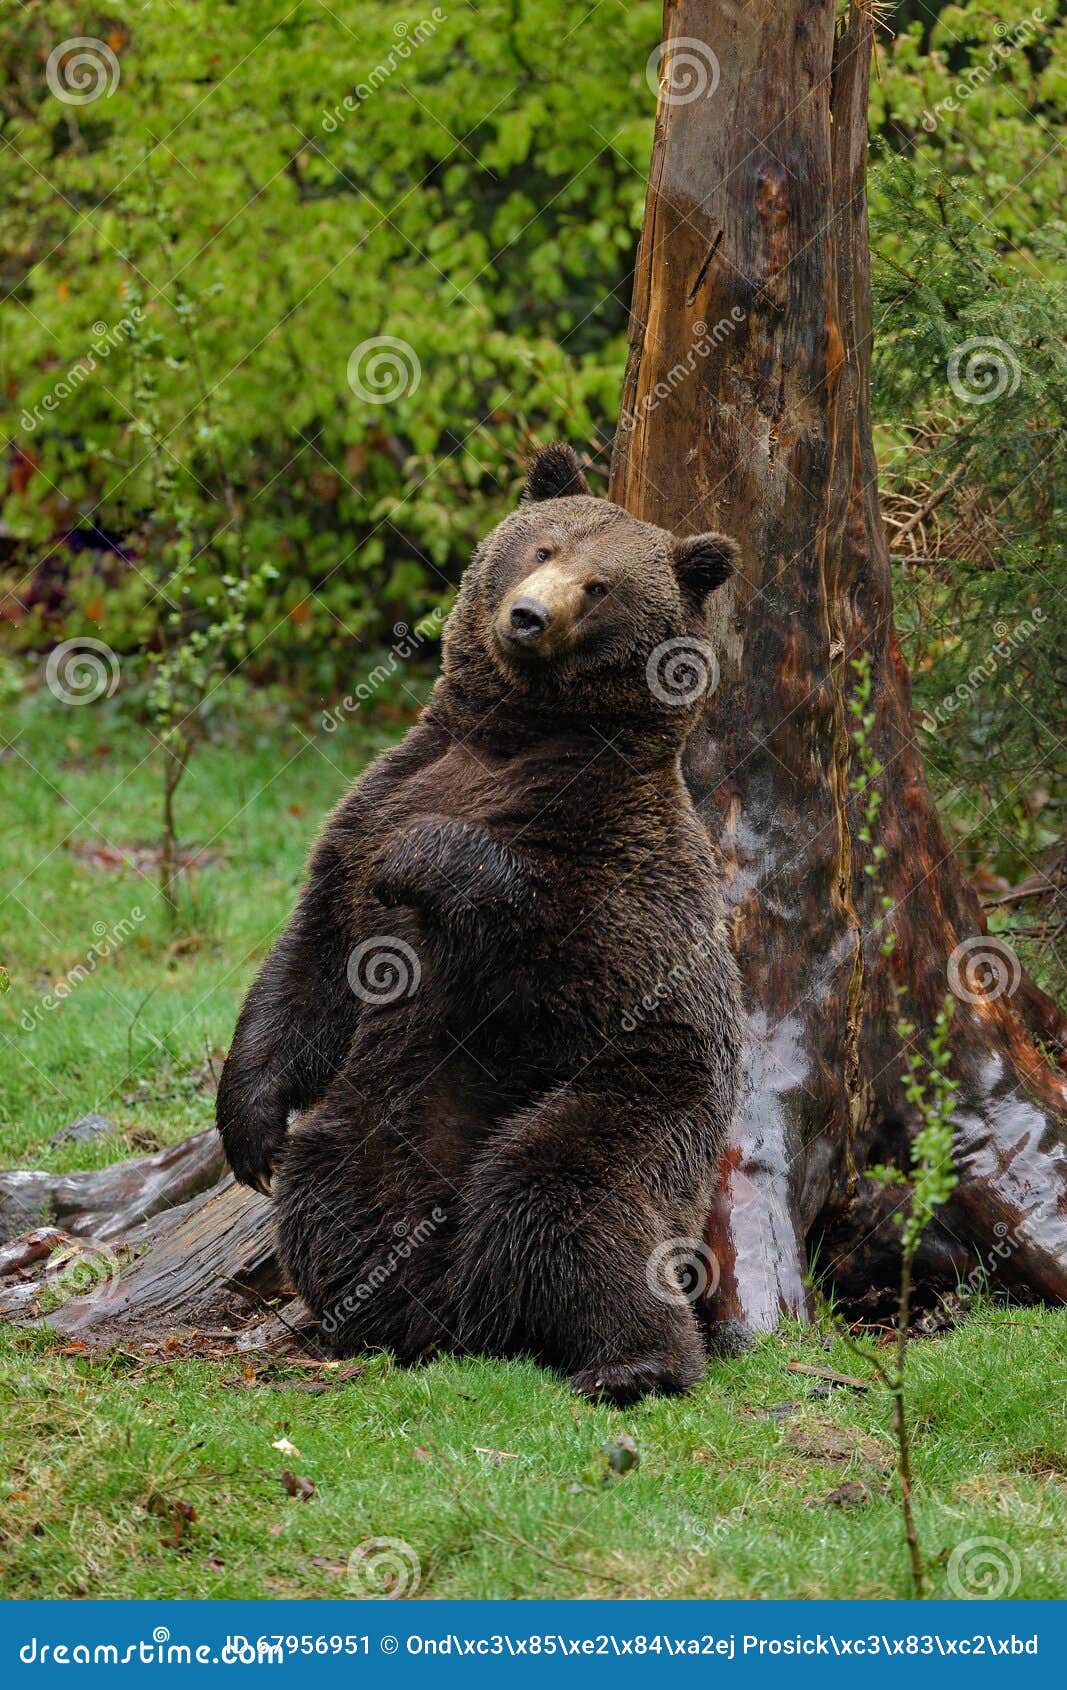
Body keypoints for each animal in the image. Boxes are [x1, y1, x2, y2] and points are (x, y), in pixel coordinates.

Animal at [216, 443, 743, 1403]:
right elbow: (311, 958)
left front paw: (418, 858)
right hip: (377, 1125)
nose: (527, 617)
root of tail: (475, 1309)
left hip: (638, 1100)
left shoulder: (615, 855)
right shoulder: (377, 798)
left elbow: (565, 939)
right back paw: (371, 1316)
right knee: (328, 1193)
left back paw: (633, 1360)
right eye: (540, 546)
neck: (514, 738)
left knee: (571, 1198)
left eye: (601, 585)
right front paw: (249, 1130)